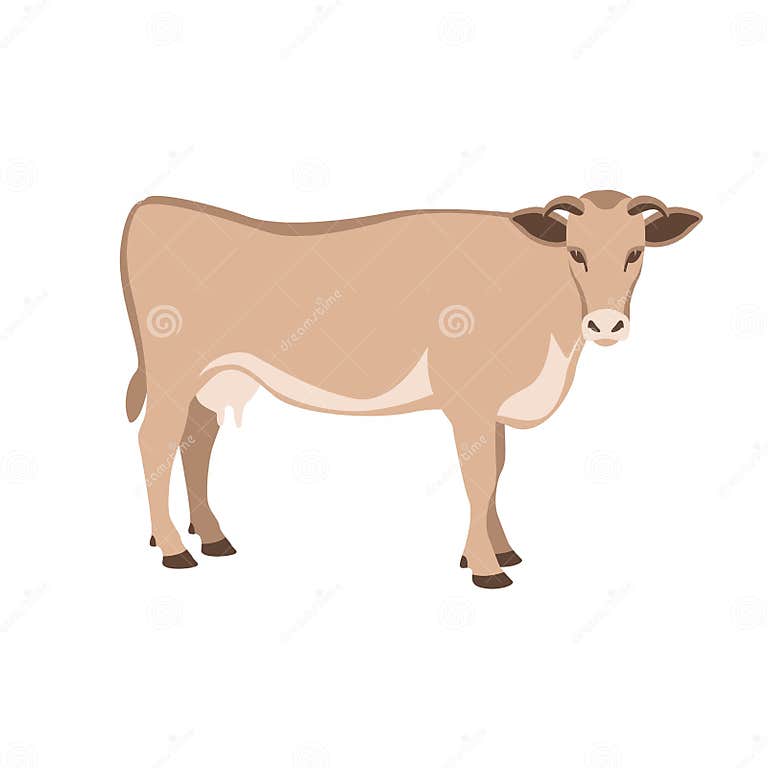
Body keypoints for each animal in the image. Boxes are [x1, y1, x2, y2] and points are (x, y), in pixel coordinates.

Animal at [121, 190, 701, 587]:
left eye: (635, 253)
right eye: (576, 252)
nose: (606, 325)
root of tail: (152, 205)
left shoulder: (492, 406)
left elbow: (497, 472)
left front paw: (498, 550)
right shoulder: (469, 399)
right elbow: (479, 477)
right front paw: (486, 568)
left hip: (210, 379)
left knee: (195, 442)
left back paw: (211, 537)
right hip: (174, 373)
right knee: (154, 441)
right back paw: (174, 548)